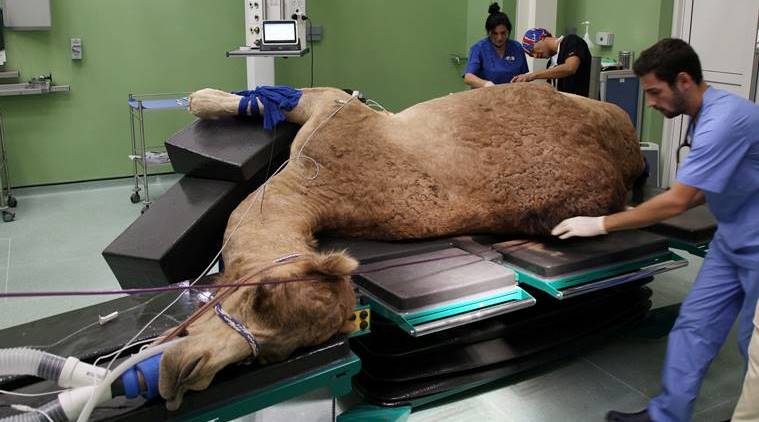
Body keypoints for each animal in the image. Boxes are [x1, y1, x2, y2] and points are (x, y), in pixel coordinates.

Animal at [157, 83, 644, 409]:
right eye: (260, 295)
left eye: (278, 351)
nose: (184, 374)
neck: (313, 192)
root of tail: (630, 161)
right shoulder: (336, 114)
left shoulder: (336, 114)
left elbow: (286, 96)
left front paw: (199, 98)